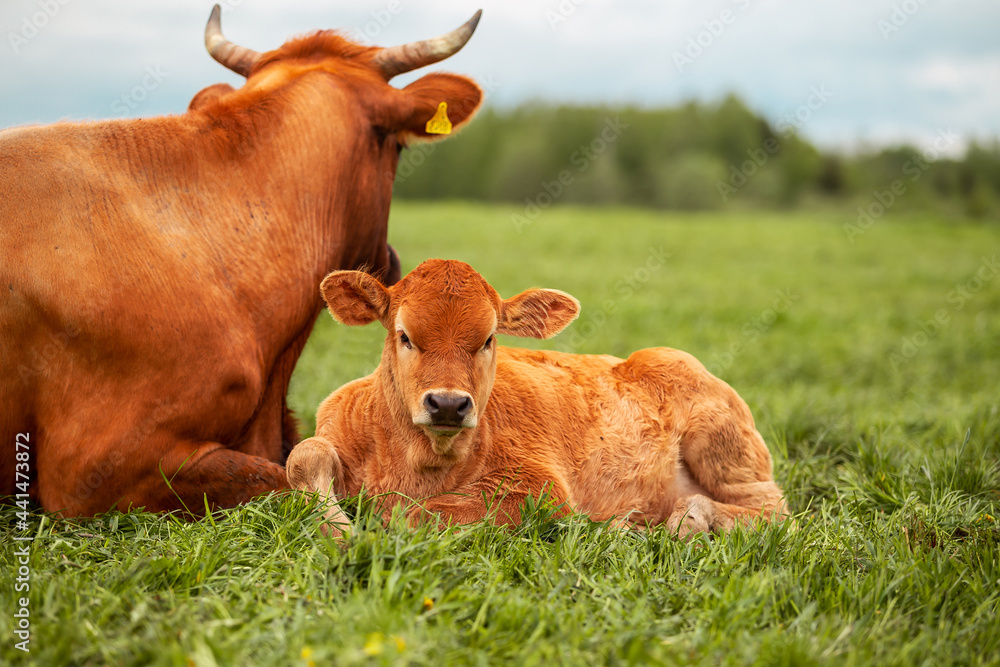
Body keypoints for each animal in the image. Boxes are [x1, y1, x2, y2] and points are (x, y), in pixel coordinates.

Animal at [286, 259, 788, 538]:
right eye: (404, 335)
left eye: (489, 339)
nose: (447, 404)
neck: (417, 463)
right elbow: (304, 457)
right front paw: (339, 531)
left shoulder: (537, 487)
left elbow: (410, 515)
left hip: (726, 453)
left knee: (776, 513)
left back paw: (686, 520)